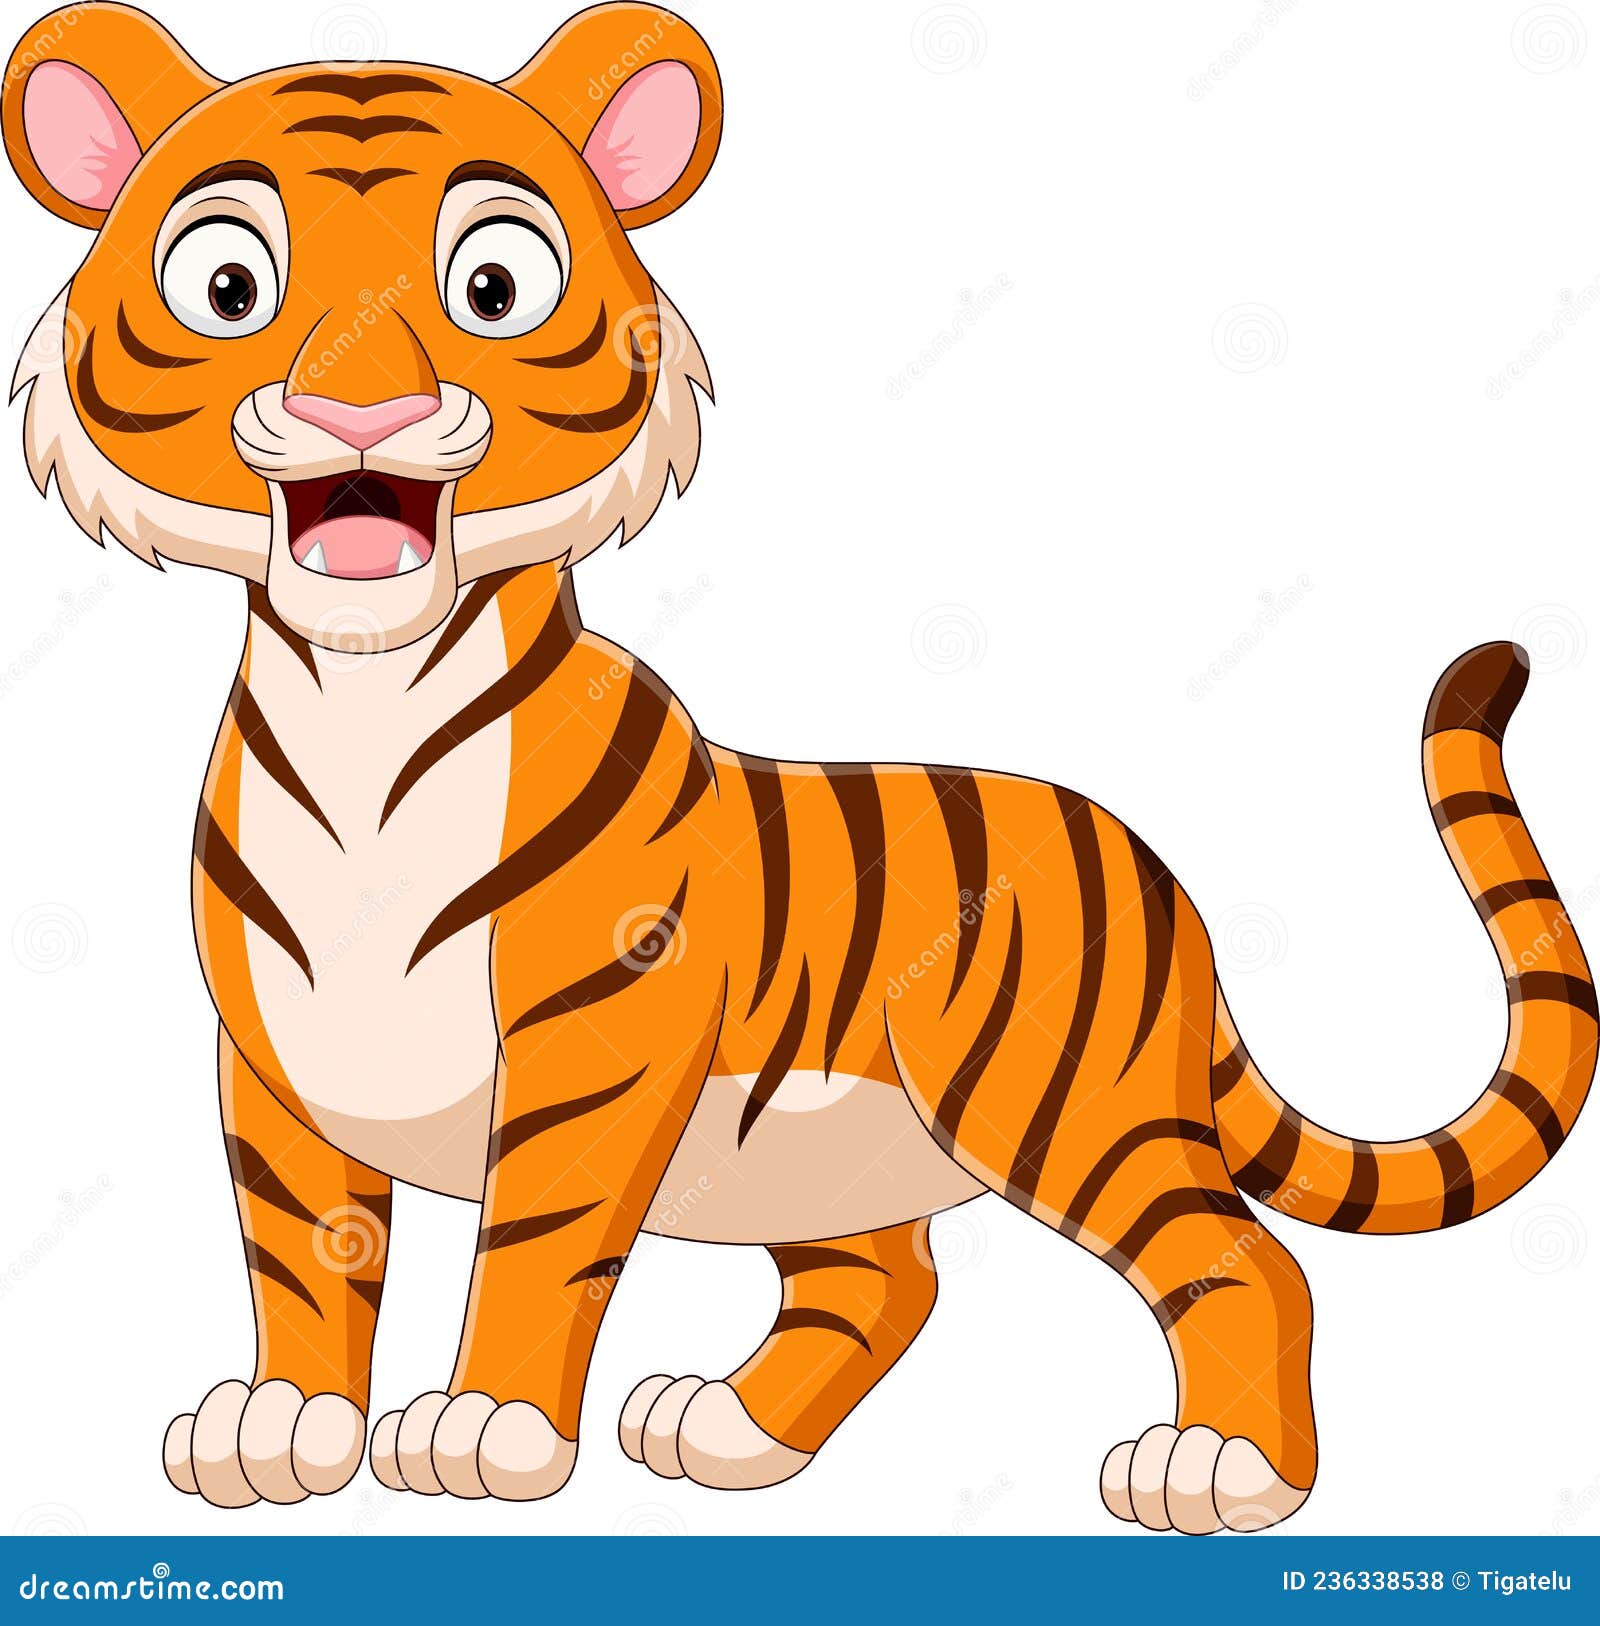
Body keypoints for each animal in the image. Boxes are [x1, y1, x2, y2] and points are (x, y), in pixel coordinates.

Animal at [3, 2, 1593, 1533]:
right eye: (229, 285)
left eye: (493, 286)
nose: (360, 416)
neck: (361, 702)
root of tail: (1164, 885)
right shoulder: (272, 1049)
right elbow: (300, 1250)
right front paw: (285, 1427)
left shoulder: (595, 1039)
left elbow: (533, 1243)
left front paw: (481, 1432)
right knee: (889, 1281)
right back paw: (726, 1429)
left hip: (1058, 1104)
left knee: (1240, 1260)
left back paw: (1219, 1470)